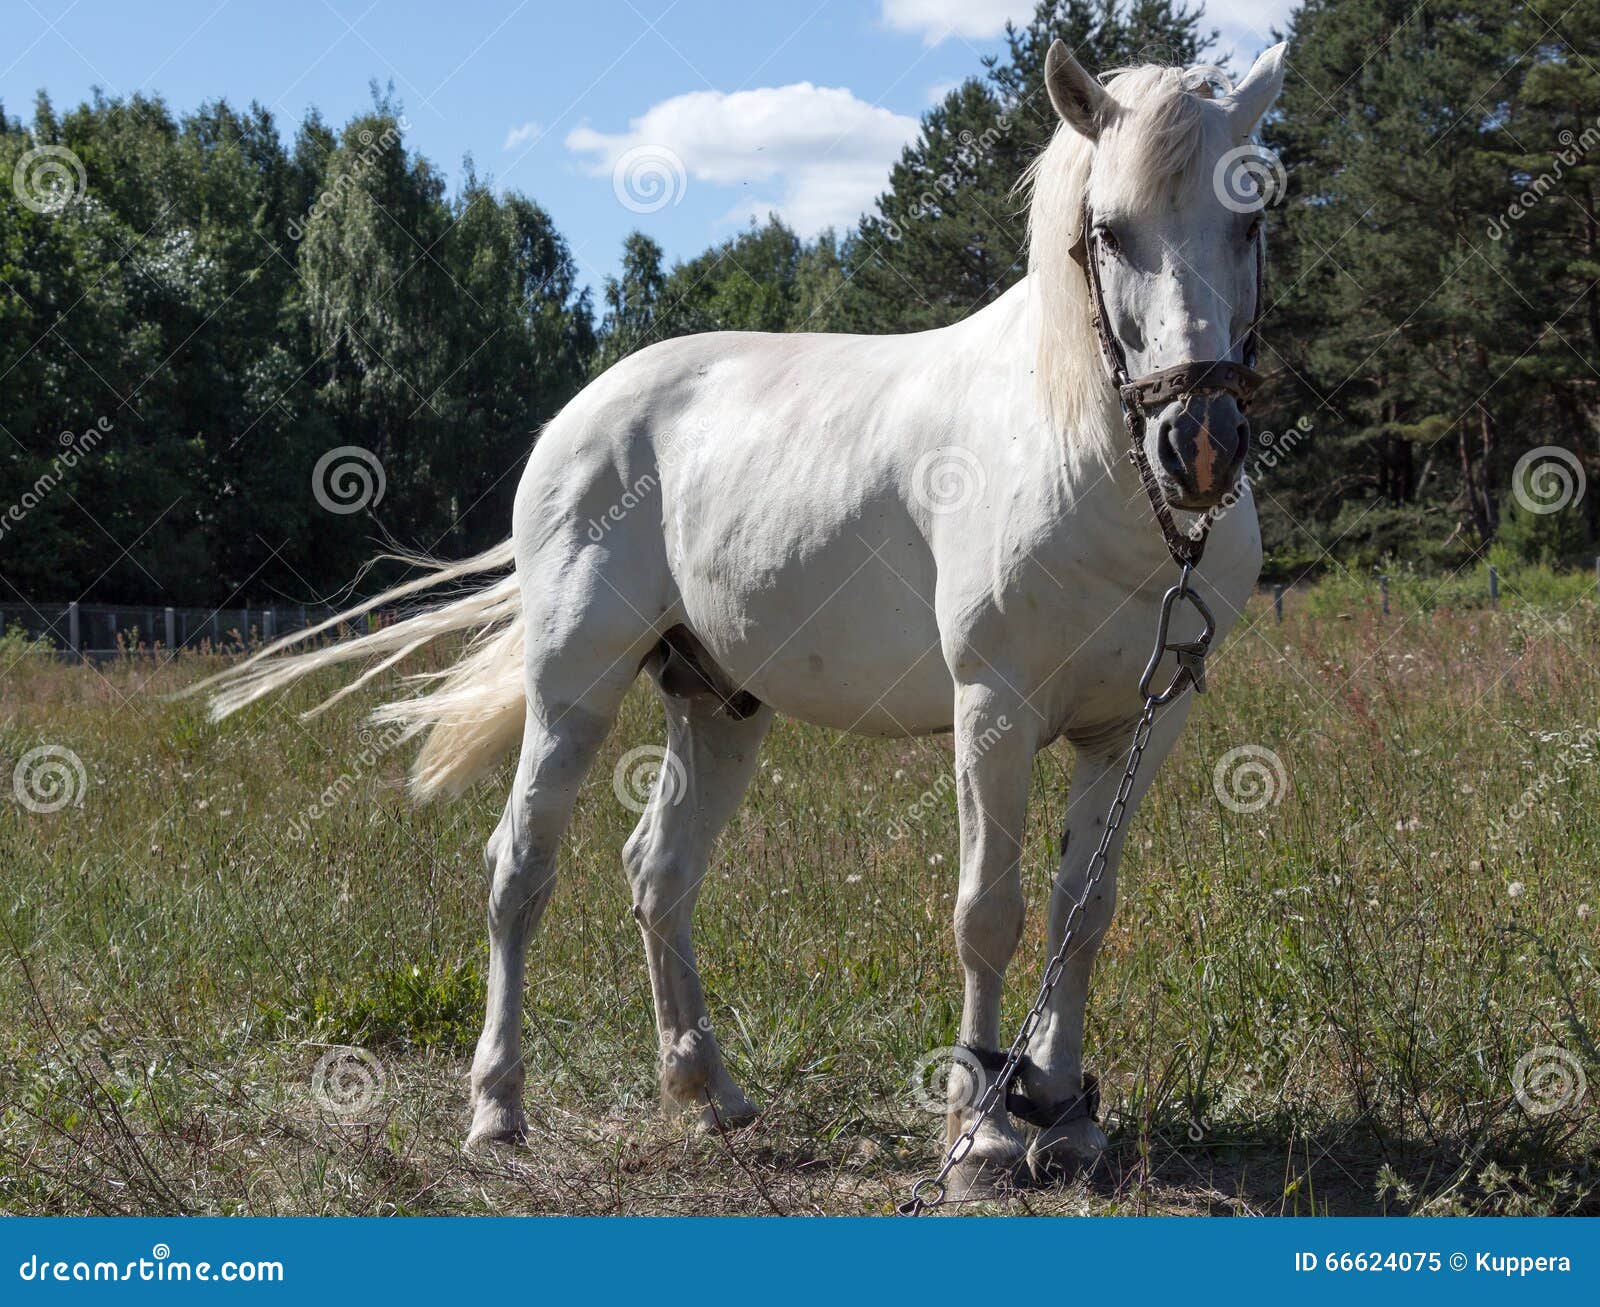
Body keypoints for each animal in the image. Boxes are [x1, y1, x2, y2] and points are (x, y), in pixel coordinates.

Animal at [203, 40, 1287, 1192]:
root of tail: (580, 413)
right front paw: (982, 1131)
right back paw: (497, 1108)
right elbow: (985, 914)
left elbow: (1082, 912)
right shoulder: (992, 709)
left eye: (1248, 219)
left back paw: (708, 1089)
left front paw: (1068, 1120)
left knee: (658, 872)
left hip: (718, 703)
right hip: (573, 689)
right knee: (520, 868)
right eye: (1110, 229)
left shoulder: (1139, 722)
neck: (1084, 457)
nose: (1199, 441)